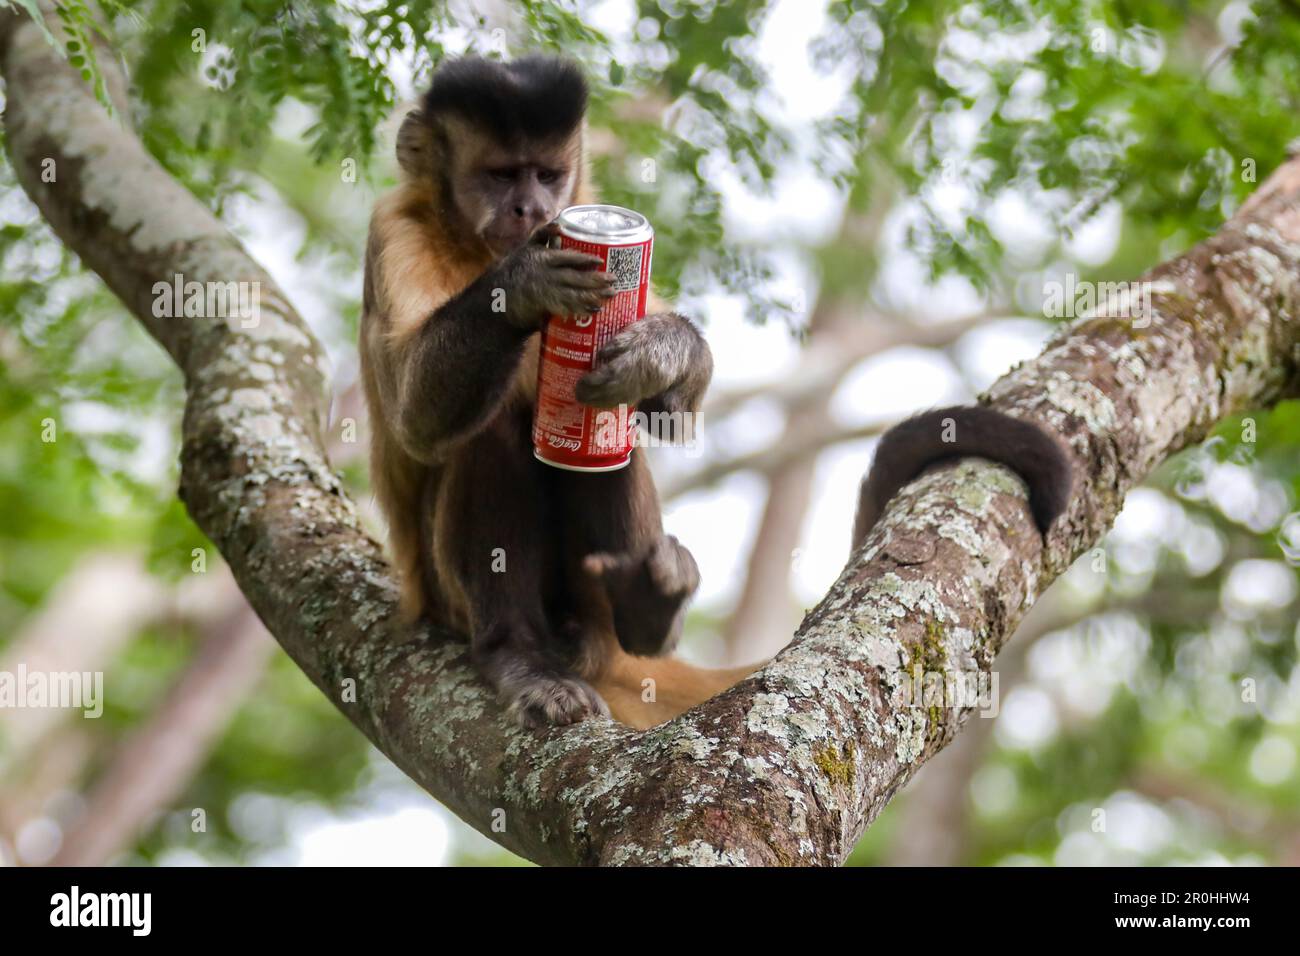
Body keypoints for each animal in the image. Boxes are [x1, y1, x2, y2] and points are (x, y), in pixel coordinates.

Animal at [359, 54, 756, 729]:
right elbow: (414, 419)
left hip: (591, 606)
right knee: (489, 431)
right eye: (500, 177)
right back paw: (517, 654)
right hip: (446, 601)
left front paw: (662, 353)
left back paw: (646, 609)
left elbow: (665, 412)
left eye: (546, 175)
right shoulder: (394, 233)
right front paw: (525, 282)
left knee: (613, 441)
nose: (530, 210)